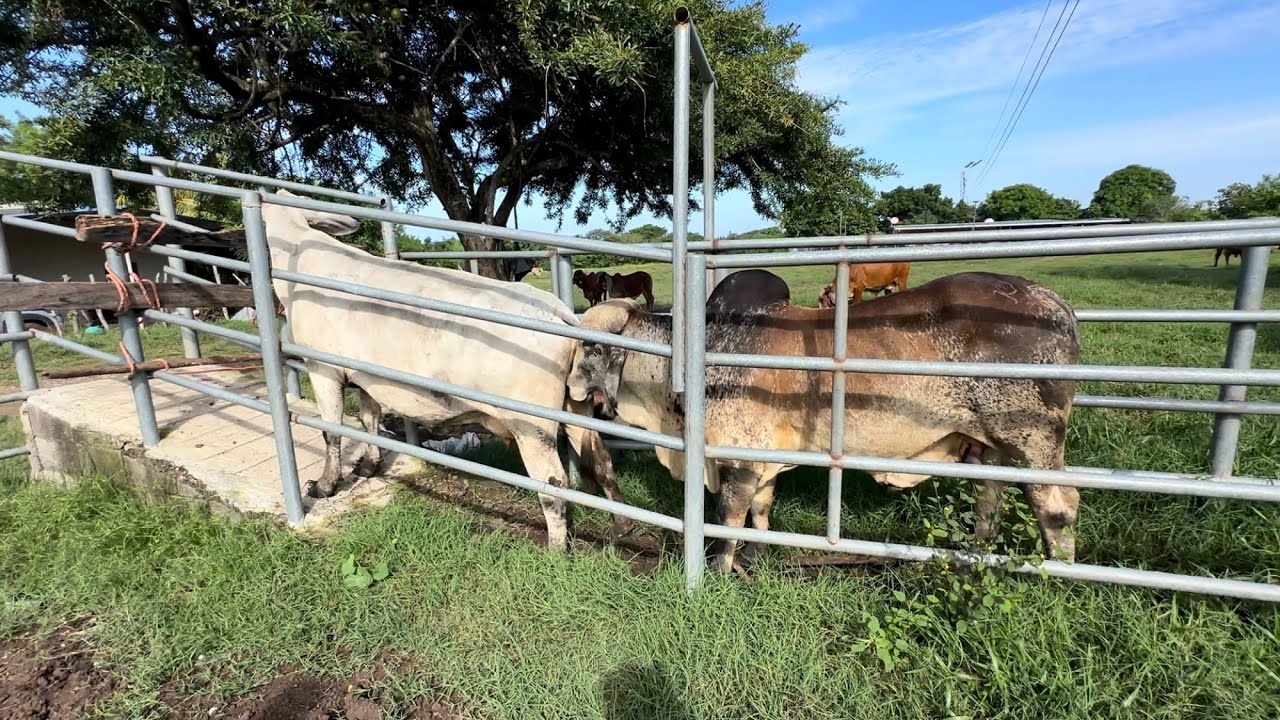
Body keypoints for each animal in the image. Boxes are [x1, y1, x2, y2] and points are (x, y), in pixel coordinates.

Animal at [260, 190, 630, 547]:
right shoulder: (368, 378)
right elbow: (368, 420)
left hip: (530, 423)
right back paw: (620, 525)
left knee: (553, 482)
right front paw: (368, 466)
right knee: (601, 460)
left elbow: (331, 431)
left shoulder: (324, 369)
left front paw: (324, 486)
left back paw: (555, 549)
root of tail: (557, 312)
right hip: (576, 405)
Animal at [568, 271, 1082, 574]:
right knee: (988, 502)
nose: (570, 386)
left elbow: (729, 518)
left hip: (1034, 443)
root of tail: (1059, 304)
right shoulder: (763, 458)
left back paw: (1060, 576)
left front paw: (719, 571)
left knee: (1058, 507)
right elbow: (761, 512)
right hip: (991, 450)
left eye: (591, 347)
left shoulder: (738, 459)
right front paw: (754, 558)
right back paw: (972, 564)